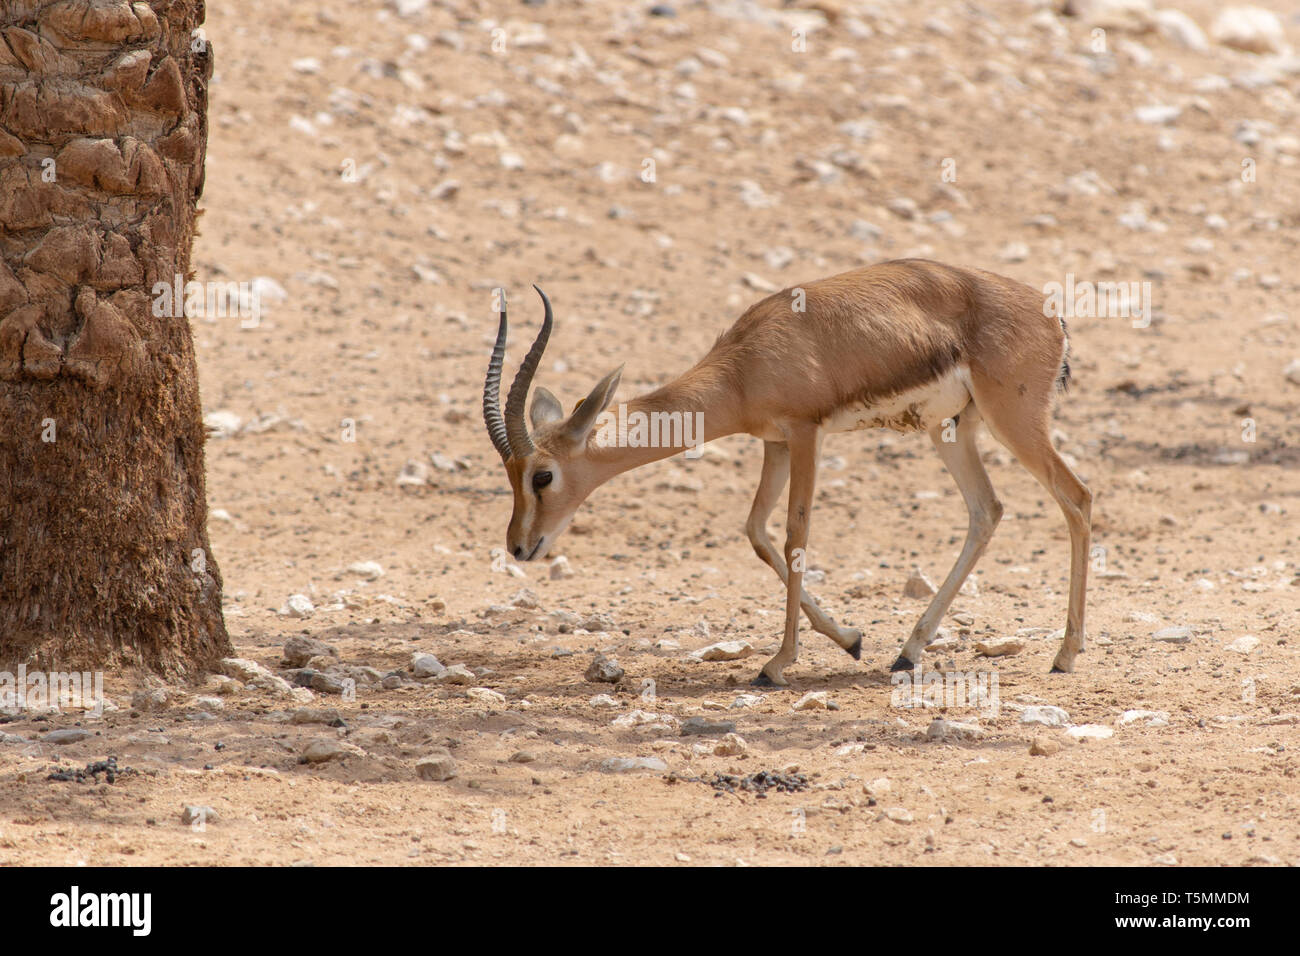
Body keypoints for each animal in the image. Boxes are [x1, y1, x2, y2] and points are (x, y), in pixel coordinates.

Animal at [482, 259, 1092, 686]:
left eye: (541, 476)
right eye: (510, 475)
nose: (519, 547)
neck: (742, 366)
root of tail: (1050, 312)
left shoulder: (803, 433)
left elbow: (797, 533)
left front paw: (776, 664)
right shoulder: (773, 443)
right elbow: (756, 531)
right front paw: (850, 640)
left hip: (1011, 419)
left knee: (1077, 496)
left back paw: (1064, 655)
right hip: (953, 429)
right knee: (987, 509)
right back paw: (906, 652)